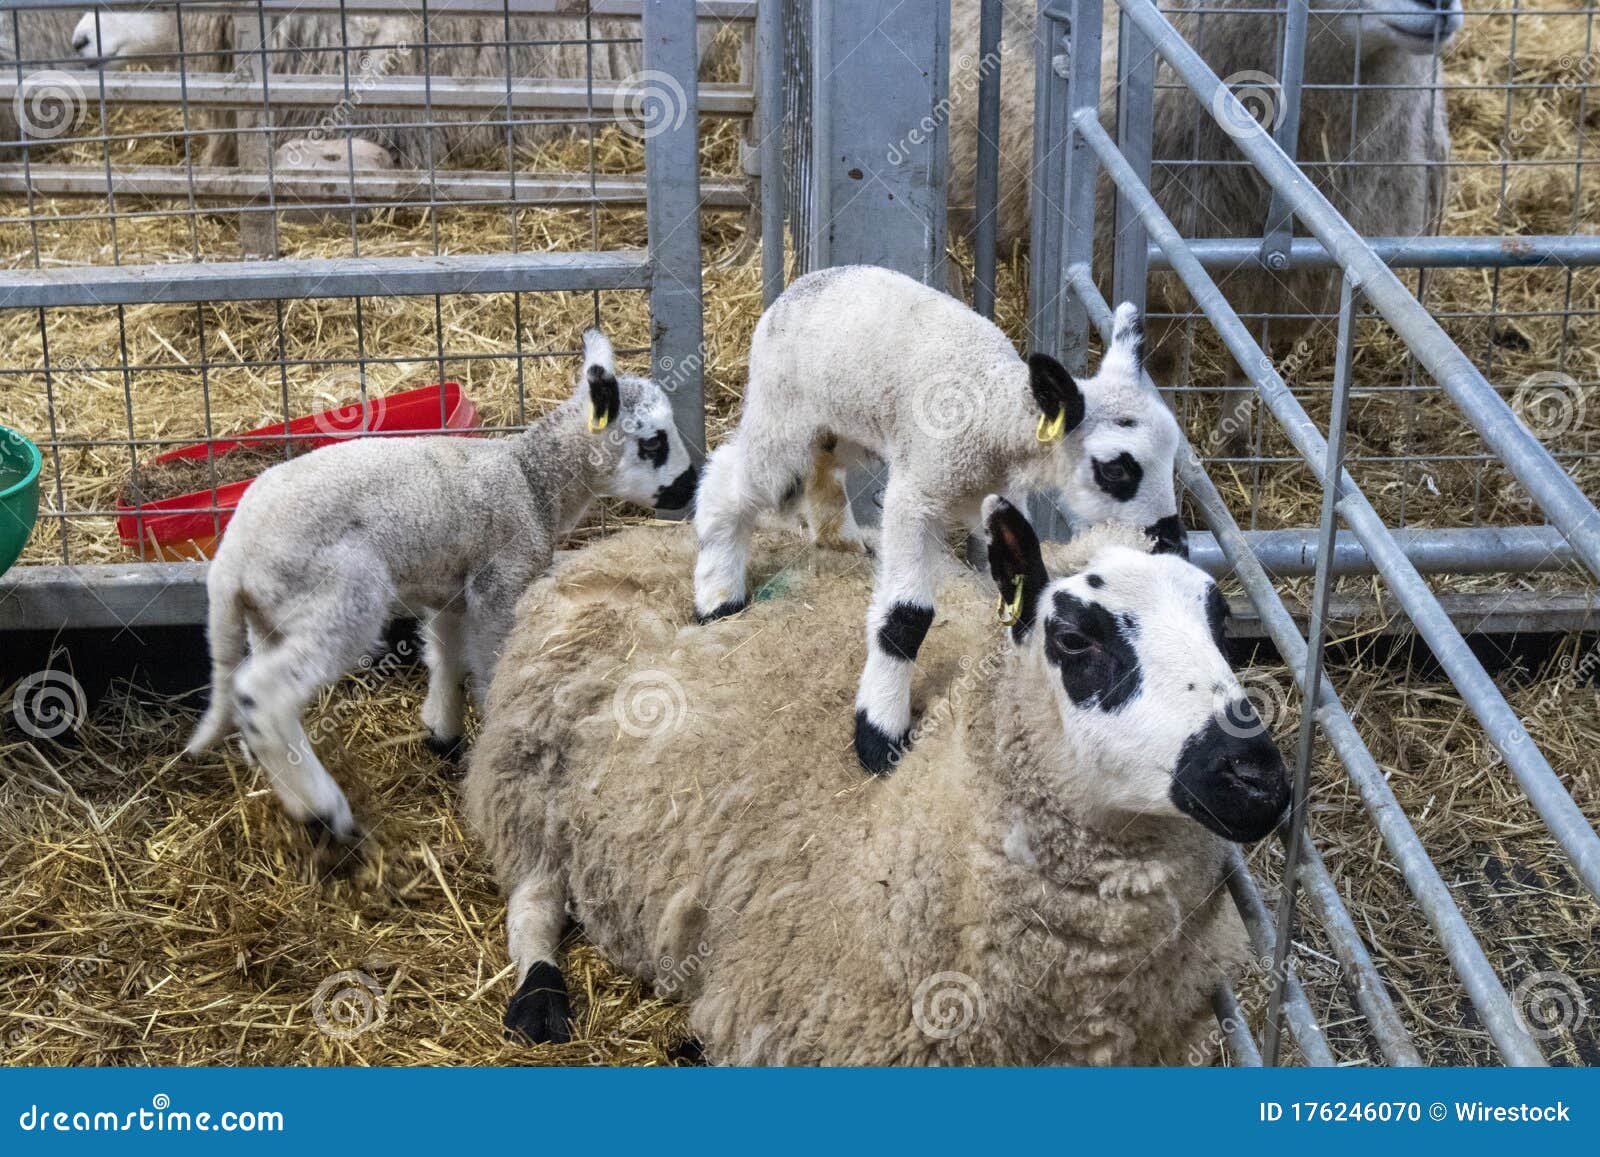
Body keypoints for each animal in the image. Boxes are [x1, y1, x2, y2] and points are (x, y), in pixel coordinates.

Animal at [186, 329, 697, 854]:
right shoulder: (500, 581)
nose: (691, 486)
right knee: (262, 695)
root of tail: (231, 561)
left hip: (272, 614)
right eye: (654, 442)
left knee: (249, 692)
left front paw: (442, 731)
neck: (532, 479)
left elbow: (447, 655)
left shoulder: (453, 588)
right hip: (340, 597)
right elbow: (490, 665)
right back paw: (323, 812)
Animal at [462, 500, 1290, 1062]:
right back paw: (539, 1000)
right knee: (533, 893)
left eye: (1222, 623)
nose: (1256, 779)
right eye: (1075, 636)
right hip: (530, 757)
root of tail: (634, 536)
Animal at [693, 263, 1184, 774]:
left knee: (824, 467)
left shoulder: (992, 494)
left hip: (847, 423)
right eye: (1117, 469)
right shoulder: (916, 495)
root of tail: (804, 282)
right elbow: (905, 618)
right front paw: (879, 735)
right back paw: (717, 596)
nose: (1172, 542)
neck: (993, 416)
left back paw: (841, 540)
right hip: (783, 411)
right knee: (731, 481)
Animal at [945, 0, 1458, 443]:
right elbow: (1164, 364)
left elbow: (1251, 359)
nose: (1440, 6)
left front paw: (1235, 436)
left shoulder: (1279, 277)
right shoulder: (1145, 268)